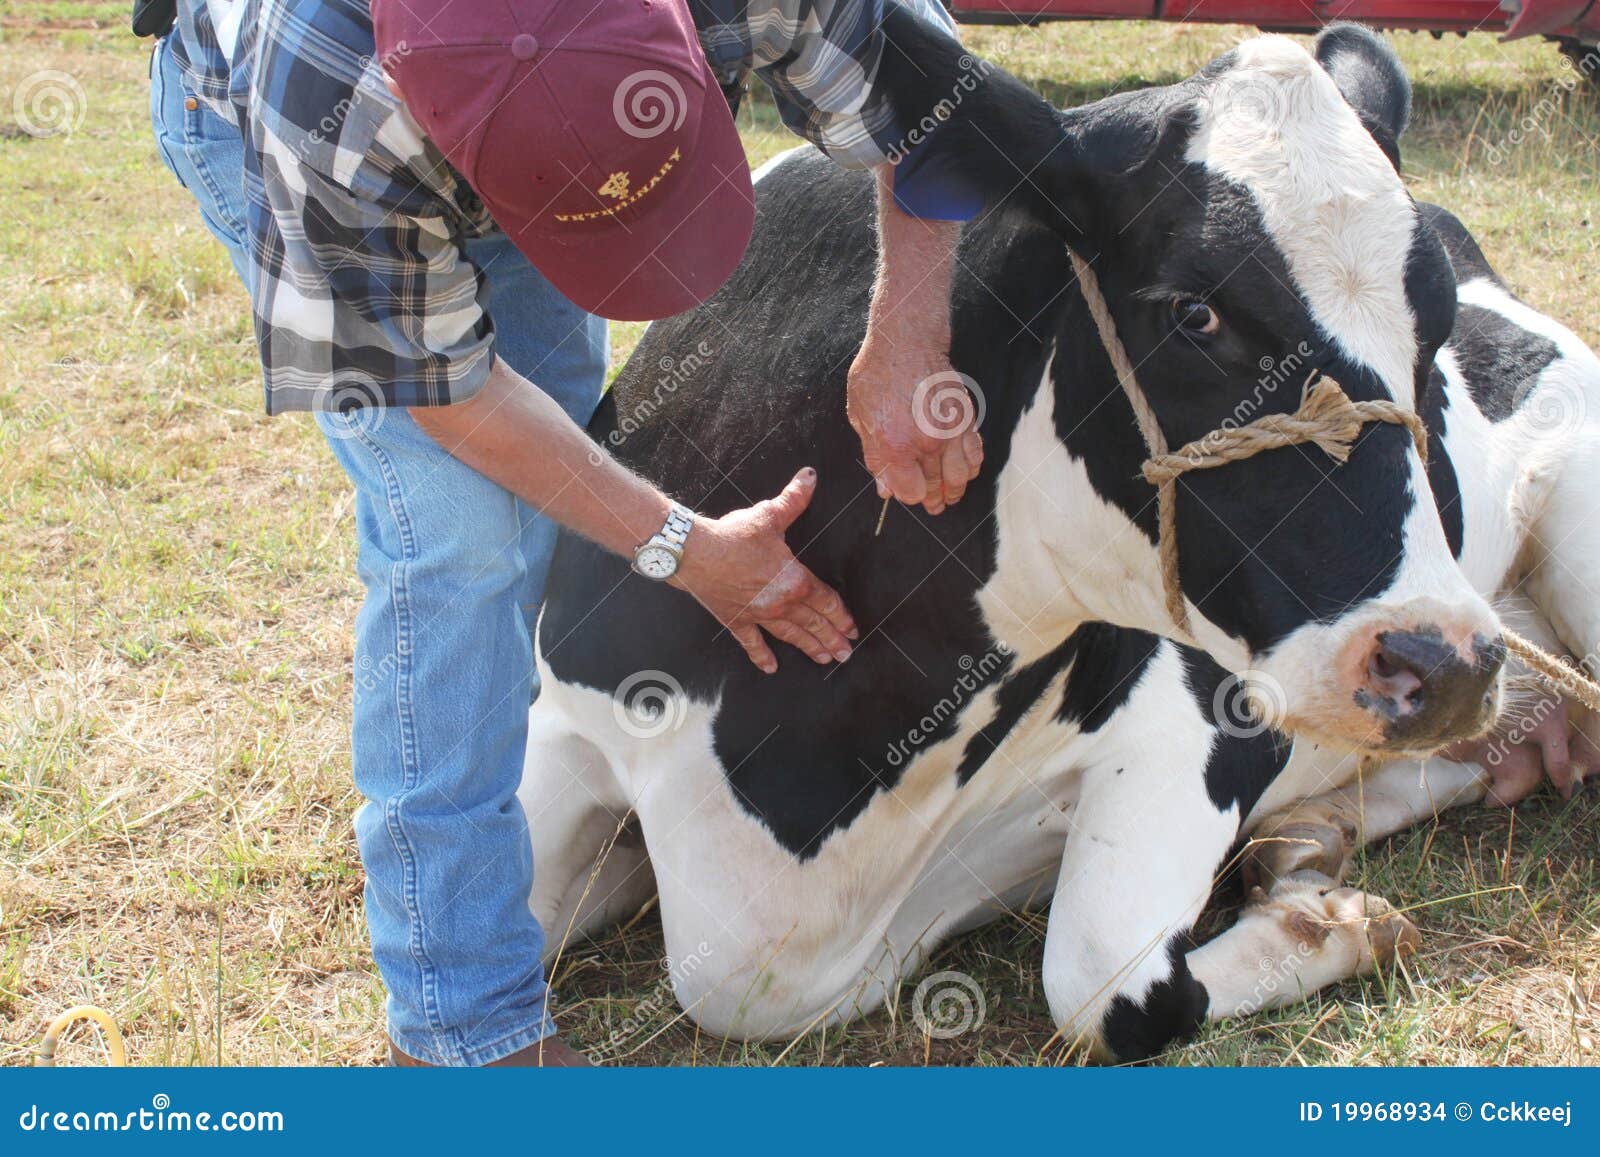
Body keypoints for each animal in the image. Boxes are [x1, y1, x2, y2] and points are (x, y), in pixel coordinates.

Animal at [514, 16, 1593, 1061]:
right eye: (1194, 313)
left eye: (1430, 333)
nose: (1442, 663)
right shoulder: (566, 721)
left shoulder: (1199, 716)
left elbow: (1098, 983)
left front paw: (1331, 926)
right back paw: (1310, 833)